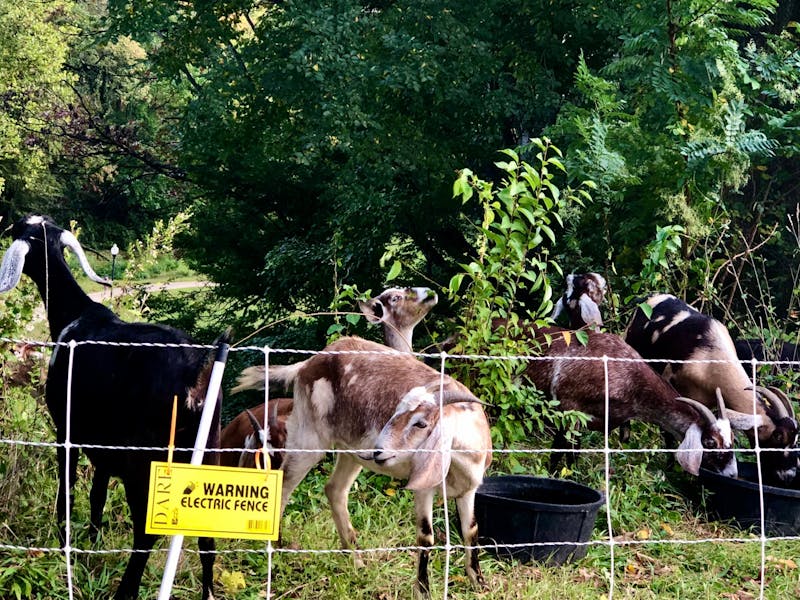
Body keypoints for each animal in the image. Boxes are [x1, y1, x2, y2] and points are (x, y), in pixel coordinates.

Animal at [0, 215, 223, 600]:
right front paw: (92, 543)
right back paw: (207, 592)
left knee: (146, 533)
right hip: (209, 453)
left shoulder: (67, 430)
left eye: (18, 229)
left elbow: (67, 491)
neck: (75, 315)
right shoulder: (102, 448)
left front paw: (65, 547)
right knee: (207, 536)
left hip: (145, 461)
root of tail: (196, 374)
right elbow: (97, 495)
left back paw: (125, 591)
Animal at [235, 335, 492, 598]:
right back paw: (276, 548)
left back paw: (355, 560)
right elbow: (425, 536)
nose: (378, 450)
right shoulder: (423, 488)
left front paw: (479, 583)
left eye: (420, 423)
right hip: (308, 439)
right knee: (285, 485)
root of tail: (309, 363)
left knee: (335, 490)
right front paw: (423, 591)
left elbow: (471, 530)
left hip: (351, 452)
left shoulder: (469, 489)